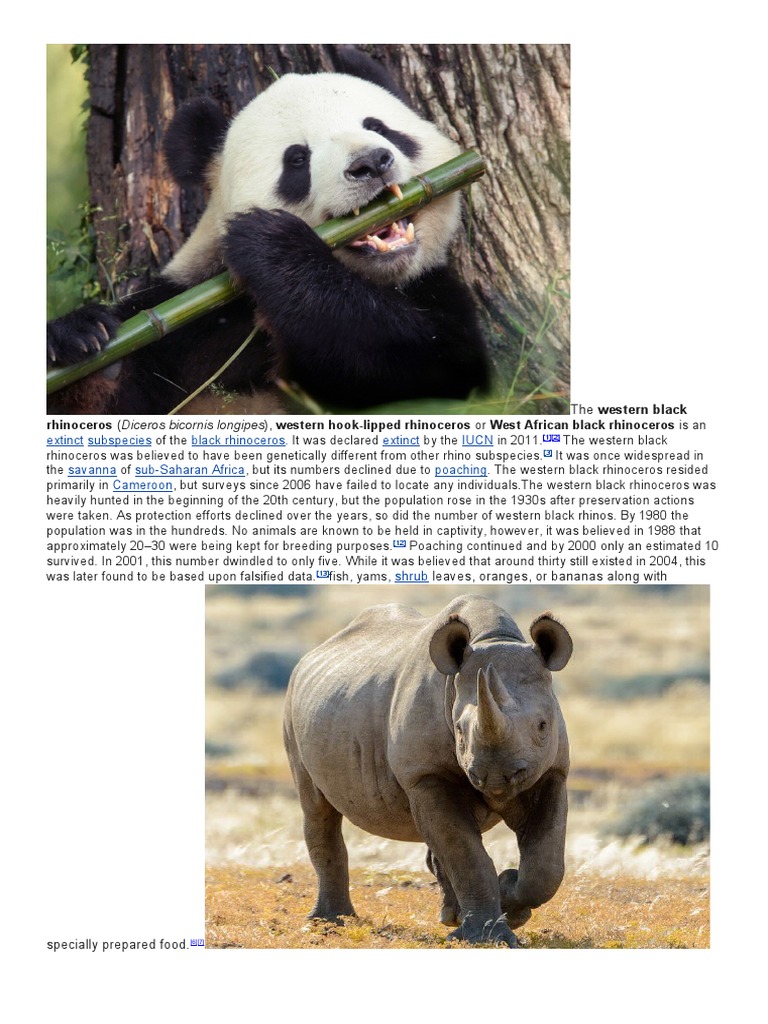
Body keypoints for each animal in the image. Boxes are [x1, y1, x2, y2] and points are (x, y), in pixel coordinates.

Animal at [283, 595, 573, 947]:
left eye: (543, 726)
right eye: (459, 730)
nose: (495, 775)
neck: (492, 640)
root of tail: (310, 656)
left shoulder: (551, 771)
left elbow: (545, 866)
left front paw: (509, 901)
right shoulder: (425, 774)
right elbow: (465, 852)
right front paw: (489, 936)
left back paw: (452, 916)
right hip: (292, 707)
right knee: (317, 808)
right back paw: (330, 922)